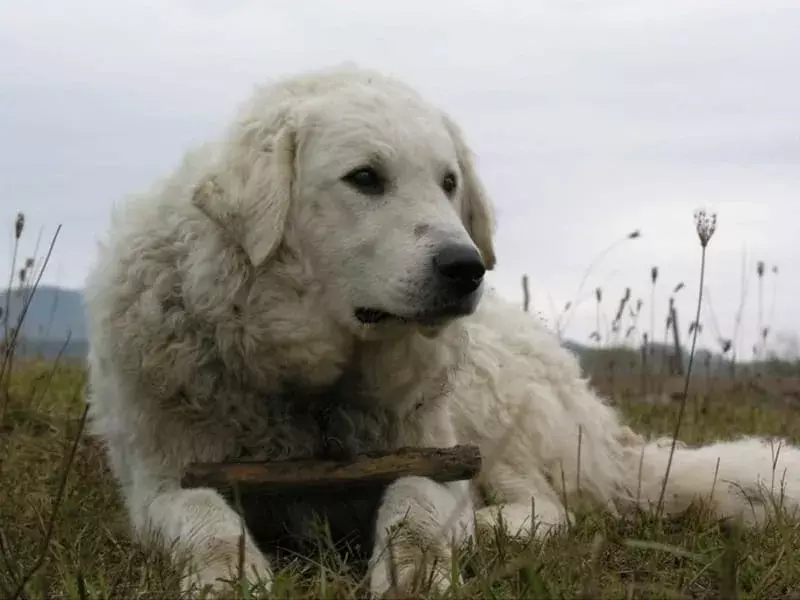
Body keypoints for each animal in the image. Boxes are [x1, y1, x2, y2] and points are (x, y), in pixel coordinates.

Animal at [83, 65, 800, 596]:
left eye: (448, 181)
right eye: (365, 178)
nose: (466, 268)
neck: (312, 391)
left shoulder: (434, 458)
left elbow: (414, 515)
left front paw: (416, 573)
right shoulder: (160, 481)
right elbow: (204, 519)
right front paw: (227, 576)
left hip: (498, 416)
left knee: (548, 508)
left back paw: (492, 526)